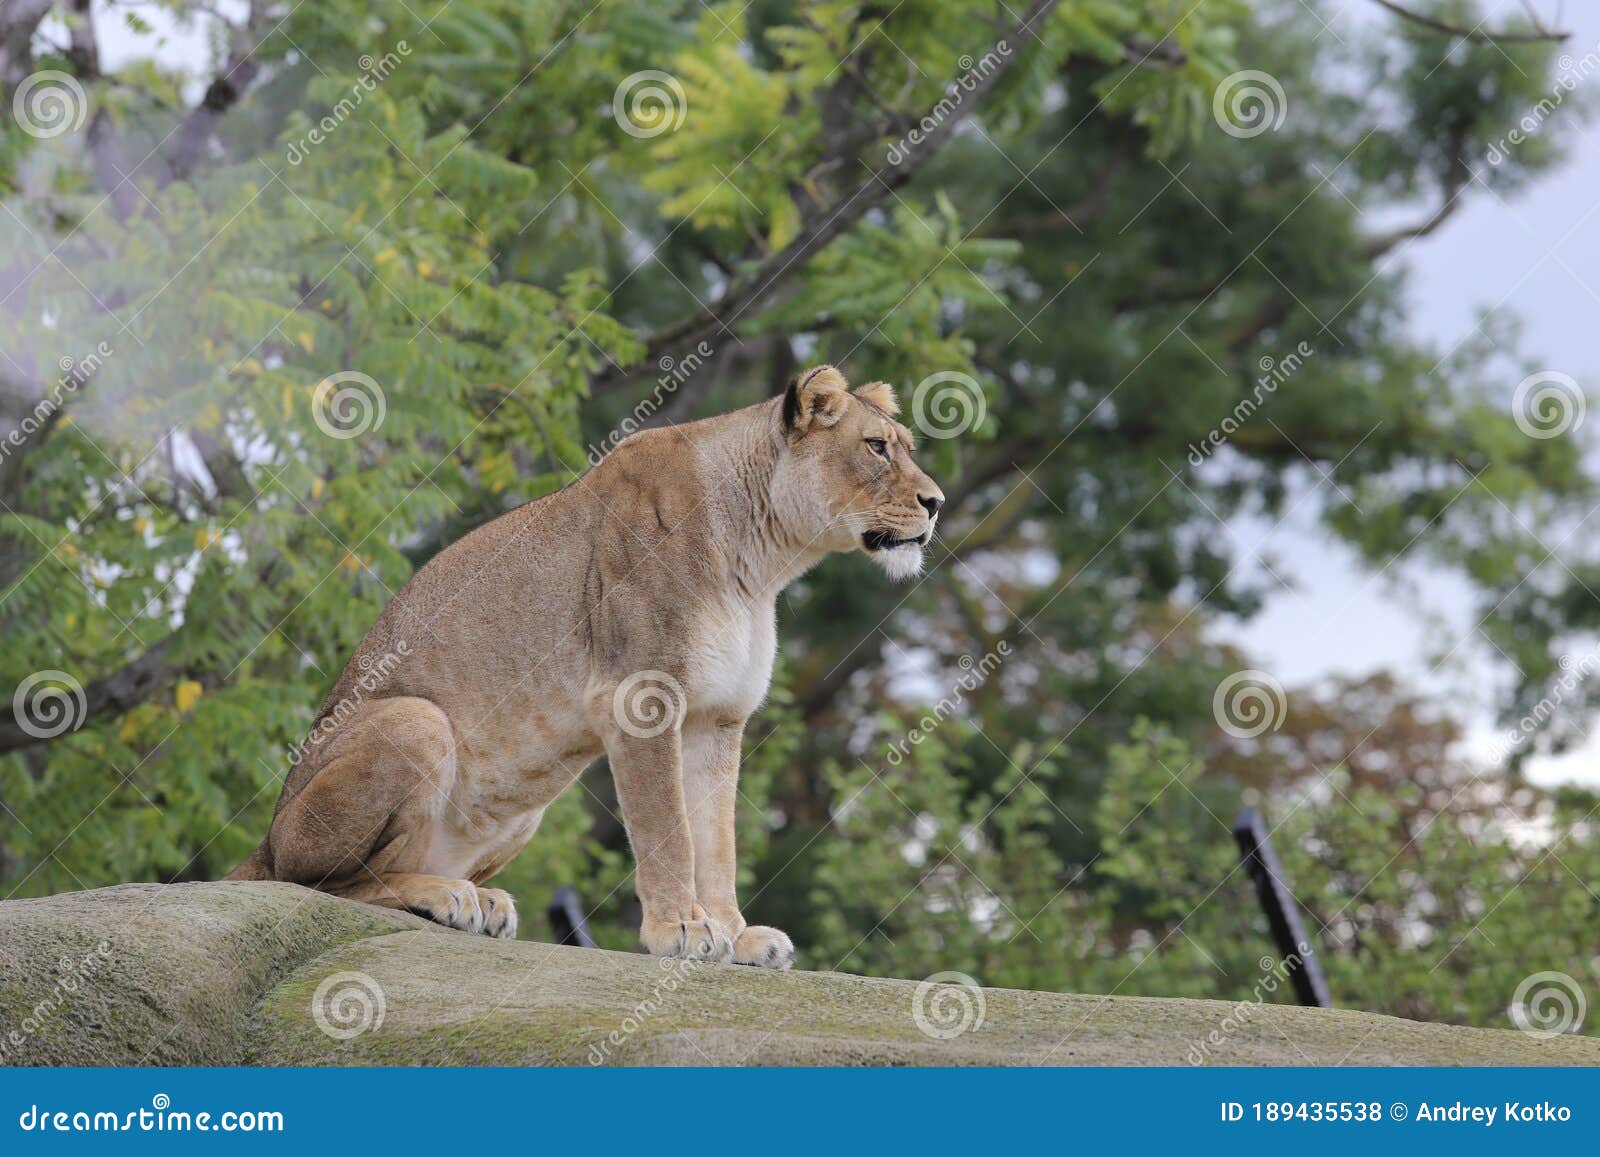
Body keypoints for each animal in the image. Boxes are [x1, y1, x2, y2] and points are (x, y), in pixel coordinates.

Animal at [227, 365, 945, 969]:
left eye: (906, 445)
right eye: (877, 447)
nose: (936, 502)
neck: (762, 560)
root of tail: (264, 841)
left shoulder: (719, 717)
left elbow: (717, 839)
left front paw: (736, 935)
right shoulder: (641, 695)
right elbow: (668, 827)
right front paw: (680, 930)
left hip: (522, 809)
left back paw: (480, 899)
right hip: (412, 725)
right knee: (318, 883)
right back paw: (448, 896)